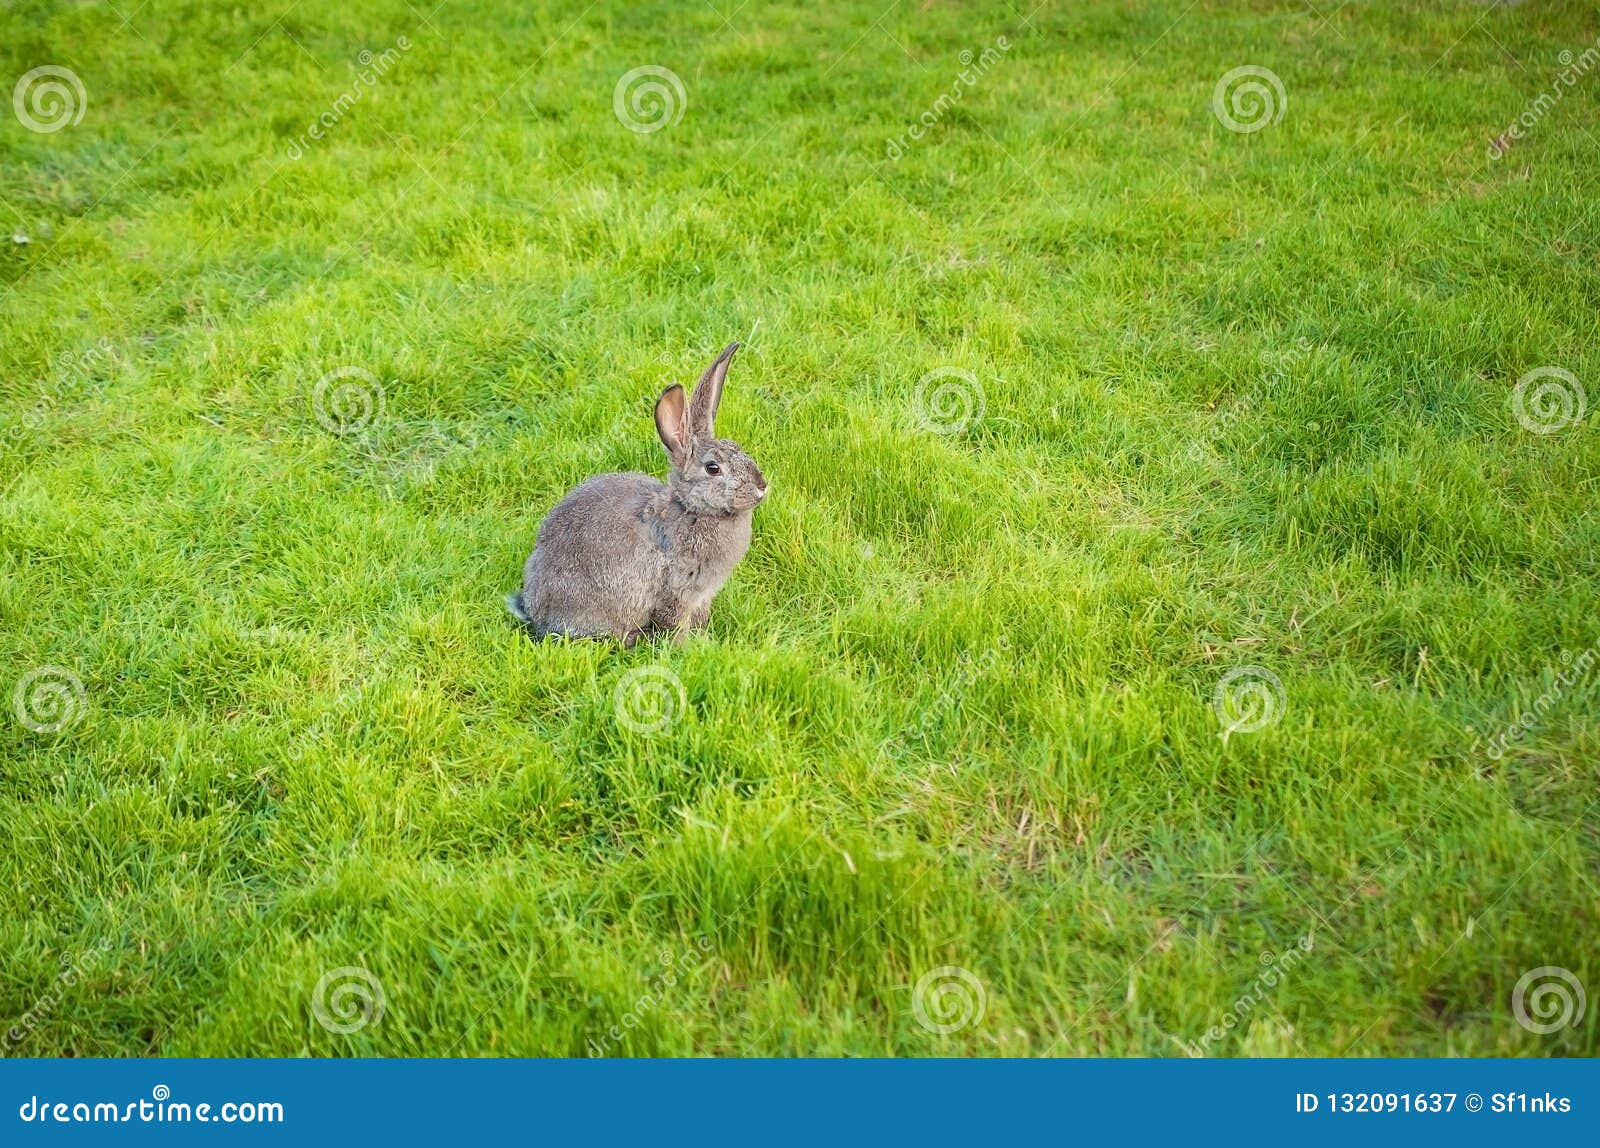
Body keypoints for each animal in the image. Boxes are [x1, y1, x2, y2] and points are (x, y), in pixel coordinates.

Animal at [508, 341, 767, 645]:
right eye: (712, 468)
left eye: (737, 447)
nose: (761, 486)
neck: (691, 508)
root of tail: (534, 611)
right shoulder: (677, 588)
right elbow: (674, 622)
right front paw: (687, 647)